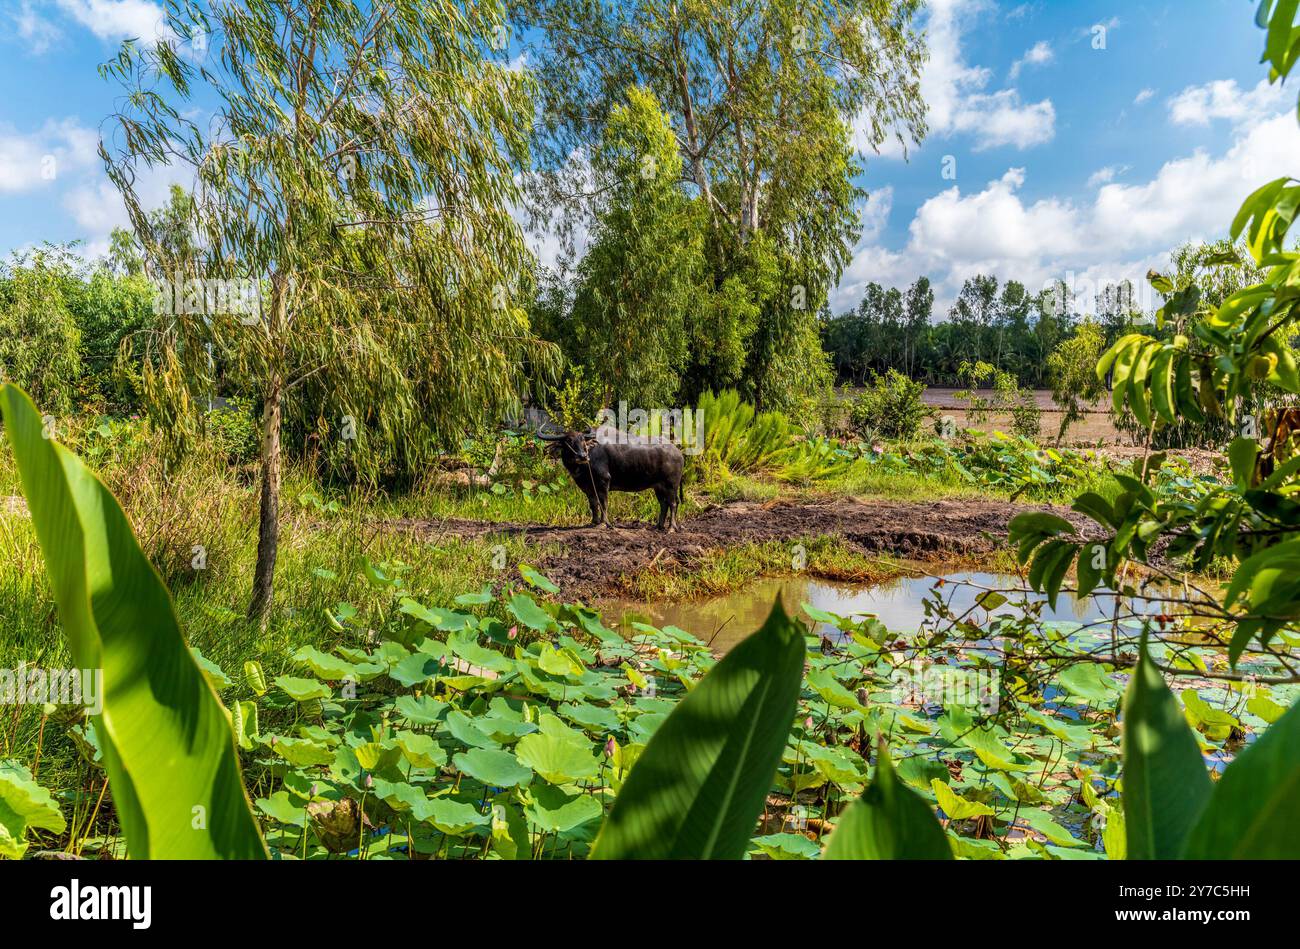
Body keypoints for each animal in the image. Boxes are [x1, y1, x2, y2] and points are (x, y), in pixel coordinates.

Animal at [538, 429, 684, 530]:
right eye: (568, 441)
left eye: (582, 440)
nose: (582, 456)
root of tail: (678, 452)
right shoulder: (588, 487)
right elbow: (593, 504)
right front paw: (594, 521)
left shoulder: (603, 481)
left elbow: (603, 503)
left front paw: (604, 523)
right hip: (658, 487)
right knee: (664, 504)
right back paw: (658, 526)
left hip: (671, 485)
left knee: (673, 503)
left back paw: (671, 528)